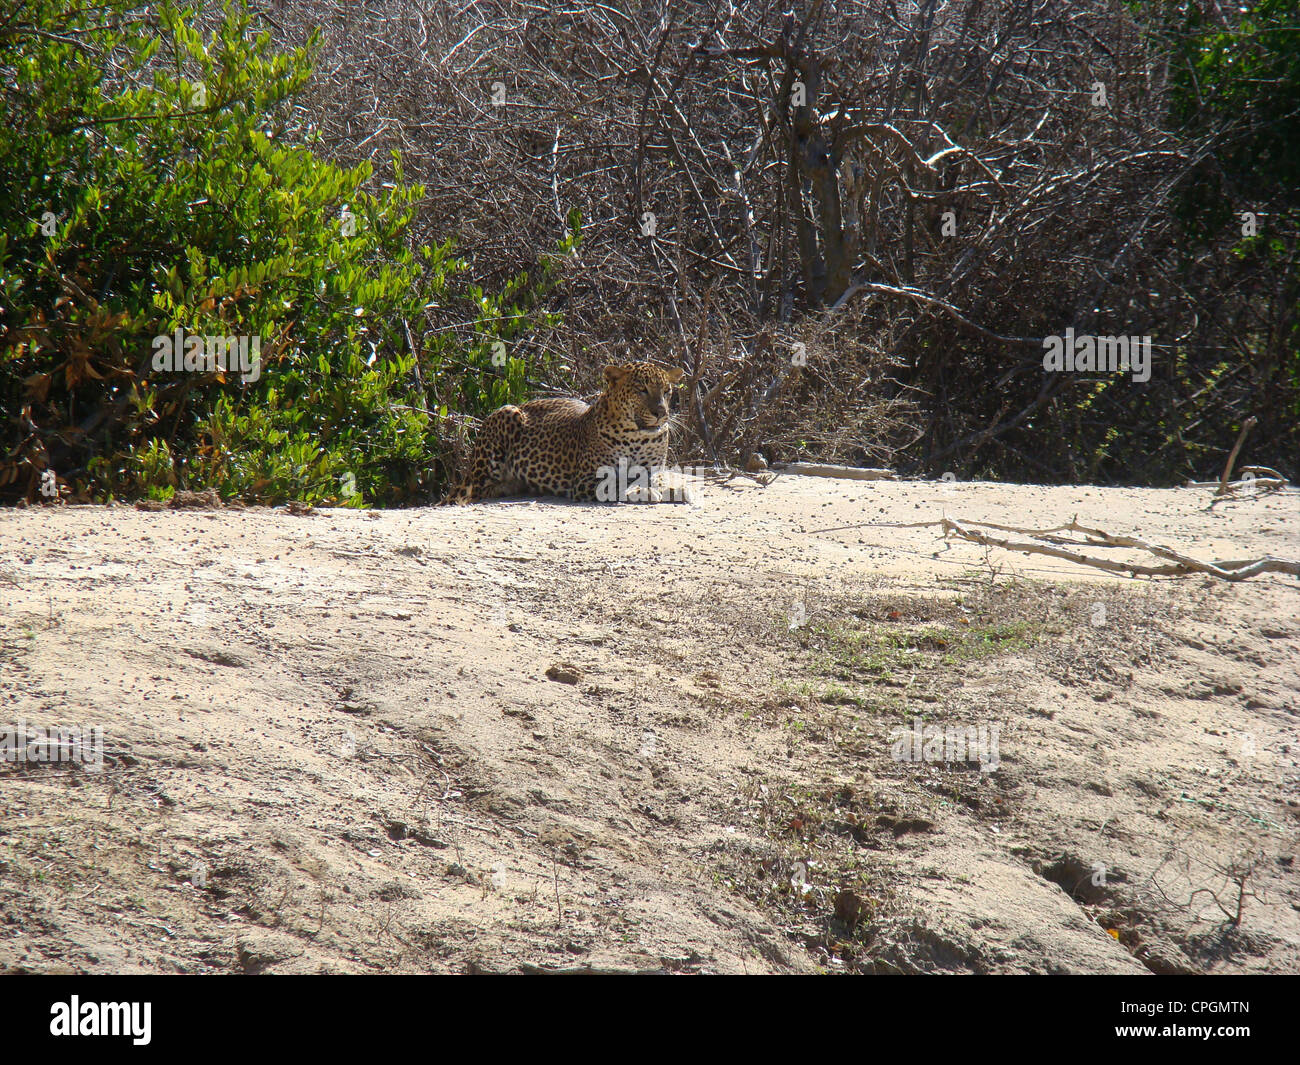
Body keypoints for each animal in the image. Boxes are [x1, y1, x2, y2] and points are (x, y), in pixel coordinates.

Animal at [447, 362, 689, 504]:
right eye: (642, 390)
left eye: (667, 391)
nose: (661, 413)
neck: (638, 436)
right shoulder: (587, 478)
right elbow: (618, 483)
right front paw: (641, 491)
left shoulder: (652, 468)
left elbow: (654, 479)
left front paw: (675, 489)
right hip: (505, 415)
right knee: (475, 492)